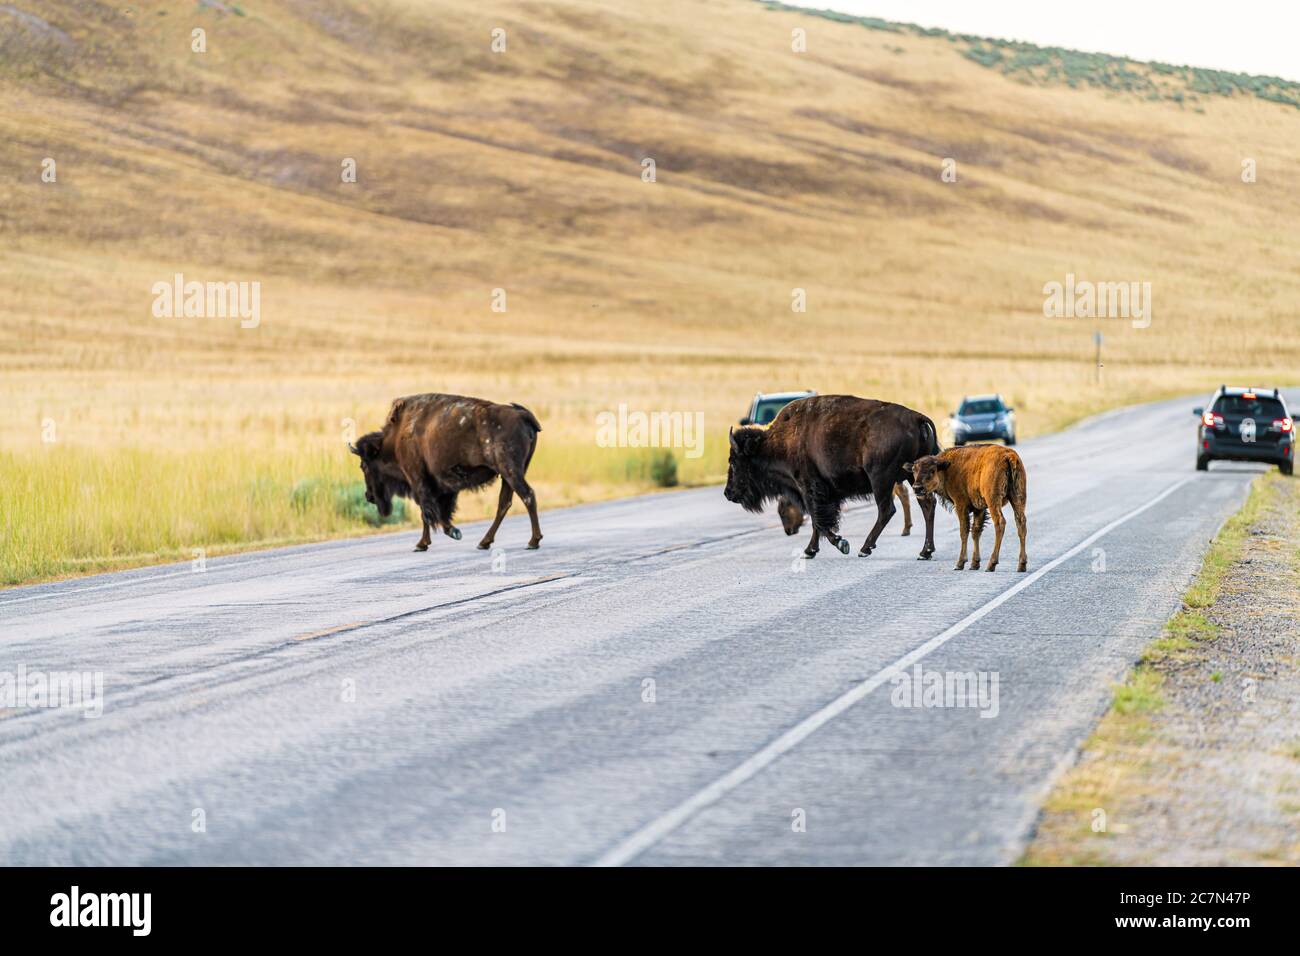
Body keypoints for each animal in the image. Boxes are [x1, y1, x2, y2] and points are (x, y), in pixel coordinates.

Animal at [350, 393, 543, 552]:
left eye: (364, 465)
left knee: (527, 496)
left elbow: (428, 511)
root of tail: (521, 414)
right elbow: (431, 511)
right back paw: (484, 542)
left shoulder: (418, 480)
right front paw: (423, 543)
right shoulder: (438, 485)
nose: (369, 496)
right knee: (504, 503)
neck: (397, 438)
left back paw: (533, 541)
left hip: (510, 471)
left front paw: (449, 533)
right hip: (510, 474)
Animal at [777, 484, 913, 557]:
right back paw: (906, 529)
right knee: (903, 492)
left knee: (901, 494)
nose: (788, 531)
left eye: (782, 512)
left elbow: (817, 522)